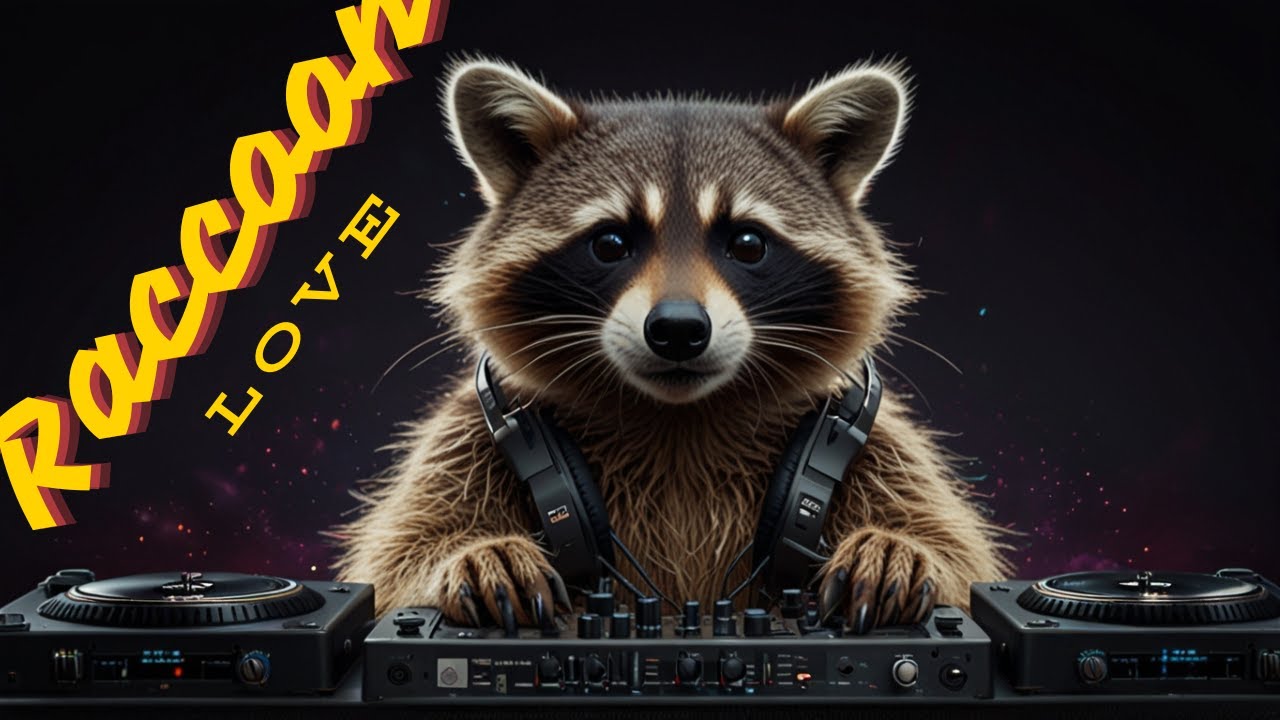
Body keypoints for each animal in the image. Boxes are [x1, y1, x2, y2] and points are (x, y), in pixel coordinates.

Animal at [332, 58, 1012, 629]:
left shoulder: (878, 445)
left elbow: (956, 553)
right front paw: (473, 551)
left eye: (747, 243)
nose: (680, 329)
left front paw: (899, 544)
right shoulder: (468, 437)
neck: (678, 416)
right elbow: (399, 555)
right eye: (610, 243)